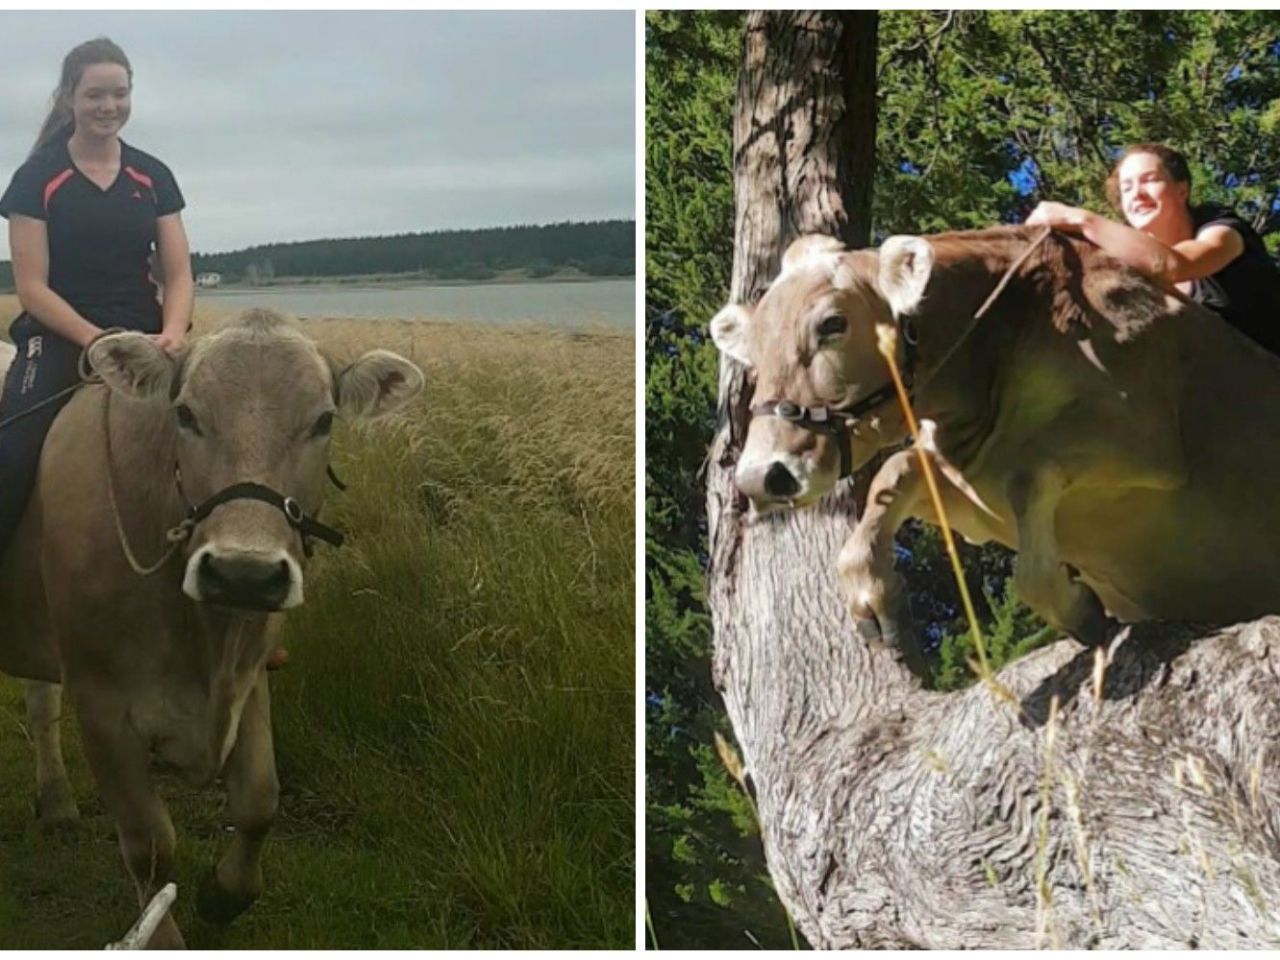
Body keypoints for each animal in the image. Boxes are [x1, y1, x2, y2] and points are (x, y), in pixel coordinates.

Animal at [0, 309, 423, 948]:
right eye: (185, 414)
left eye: (324, 419)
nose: (243, 572)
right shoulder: (102, 705)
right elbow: (150, 844)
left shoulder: (249, 672)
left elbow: (259, 801)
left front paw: (223, 895)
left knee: (39, 702)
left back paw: (56, 804)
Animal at [710, 226, 1280, 677]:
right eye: (752, 351)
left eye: (832, 323)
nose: (761, 476)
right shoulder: (965, 480)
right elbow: (892, 474)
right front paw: (877, 608)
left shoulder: (1145, 440)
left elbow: (1031, 482)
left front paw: (1080, 609)